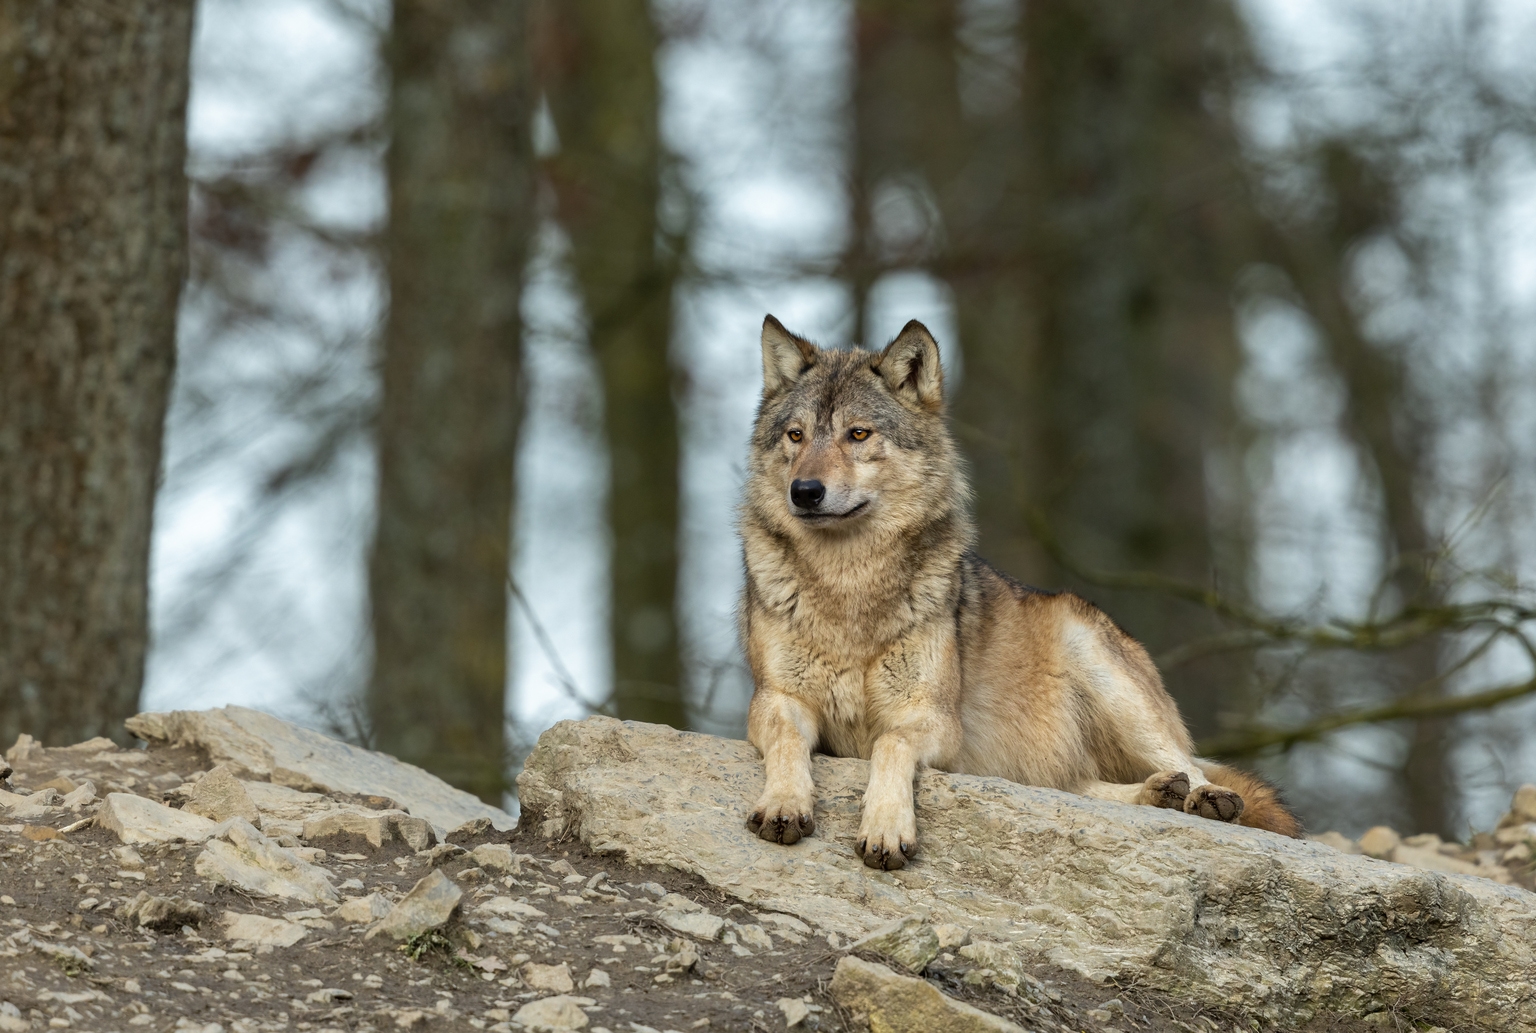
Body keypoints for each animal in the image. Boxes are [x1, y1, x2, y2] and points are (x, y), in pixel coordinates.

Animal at [739, 315, 1300, 870]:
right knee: (1081, 788)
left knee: (1192, 767)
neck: (848, 587)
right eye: (796, 435)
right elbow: (788, 740)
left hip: (1103, 671)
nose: (804, 492)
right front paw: (783, 804)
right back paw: (1160, 793)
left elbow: (890, 744)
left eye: (857, 433)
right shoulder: (776, 700)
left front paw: (885, 828)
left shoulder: (933, 718)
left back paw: (1204, 798)